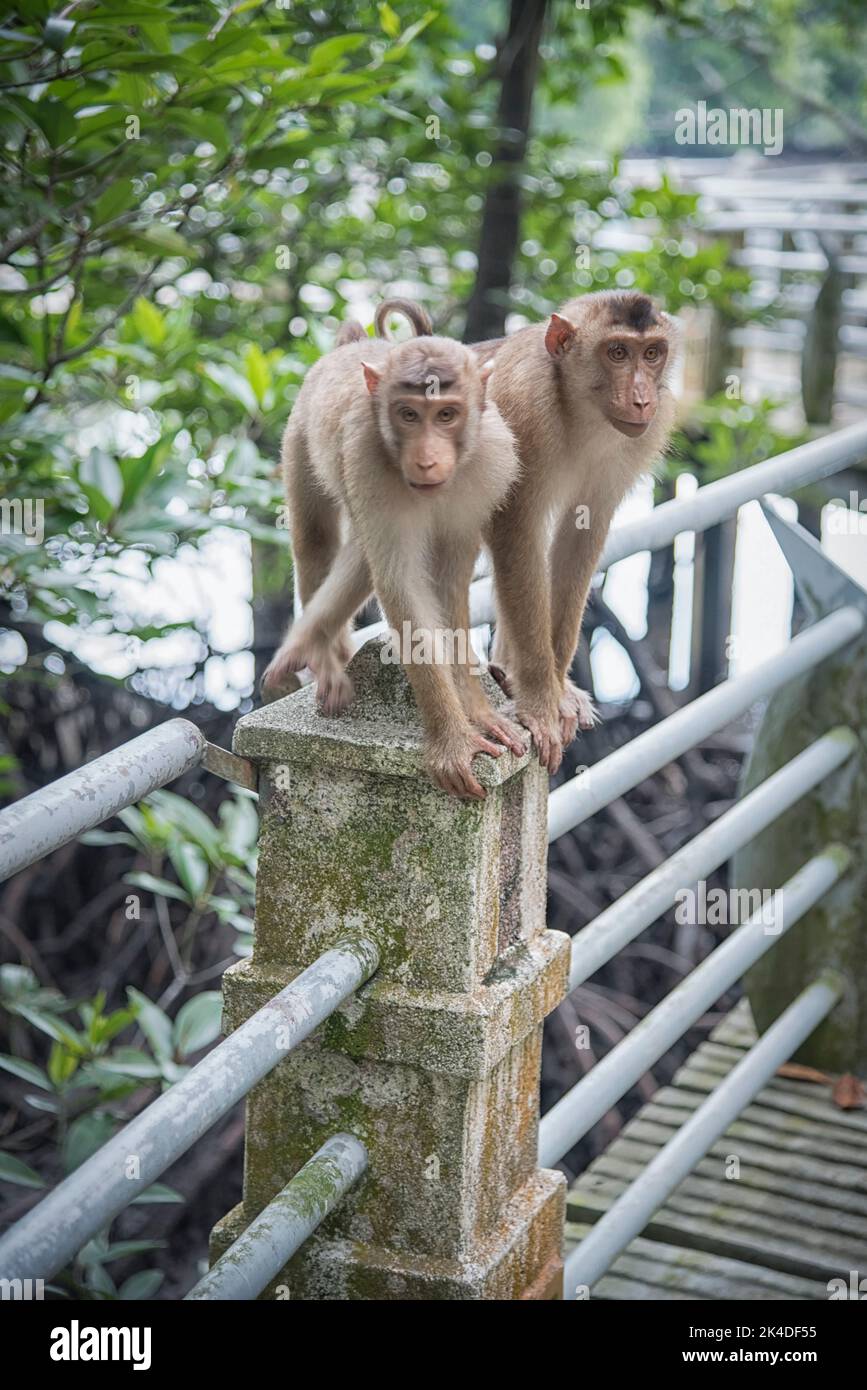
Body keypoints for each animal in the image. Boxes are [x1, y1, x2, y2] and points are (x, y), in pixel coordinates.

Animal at [261, 316, 527, 799]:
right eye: (408, 414)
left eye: (446, 414)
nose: (426, 461)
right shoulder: (367, 460)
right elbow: (401, 583)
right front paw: (452, 740)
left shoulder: (491, 466)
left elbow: (447, 584)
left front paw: (477, 711)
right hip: (300, 436)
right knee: (317, 538)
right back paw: (320, 651)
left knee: (359, 555)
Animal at [477, 290, 680, 774]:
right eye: (617, 352)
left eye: (652, 353)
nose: (642, 399)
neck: (578, 407)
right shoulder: (523, 406)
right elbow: (516, 528)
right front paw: (540, 700)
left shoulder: (648, 432)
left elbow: (582, 534)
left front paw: (560, 690)